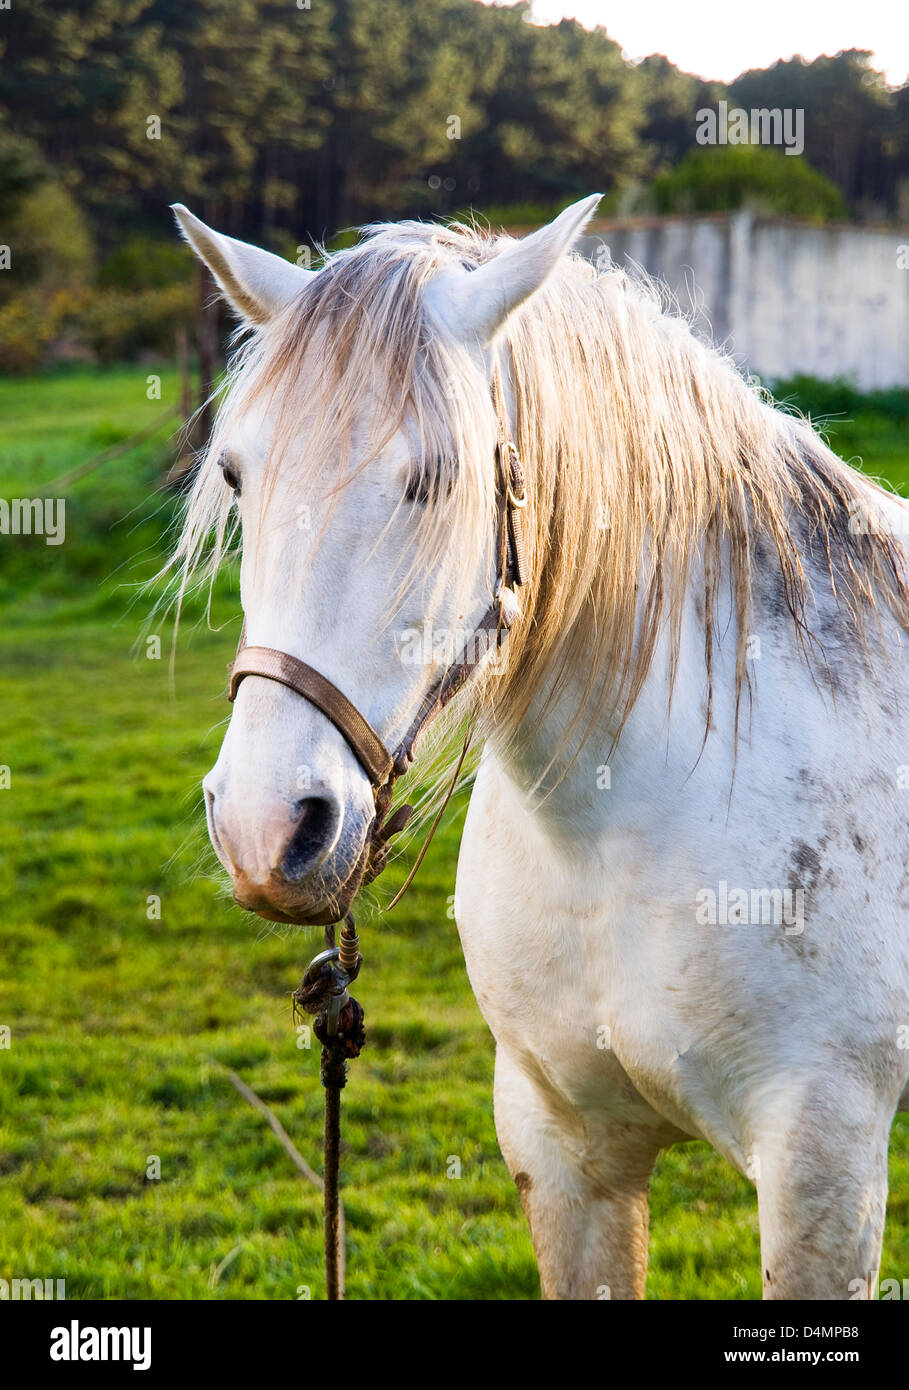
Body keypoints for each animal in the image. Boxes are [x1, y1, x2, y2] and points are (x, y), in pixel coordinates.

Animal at [169, 195, 909, 1300]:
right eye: (234, 473)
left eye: (435, 480)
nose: (266, 829)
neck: (626, 833)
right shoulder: (559, 1144)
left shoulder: (823, 1159)